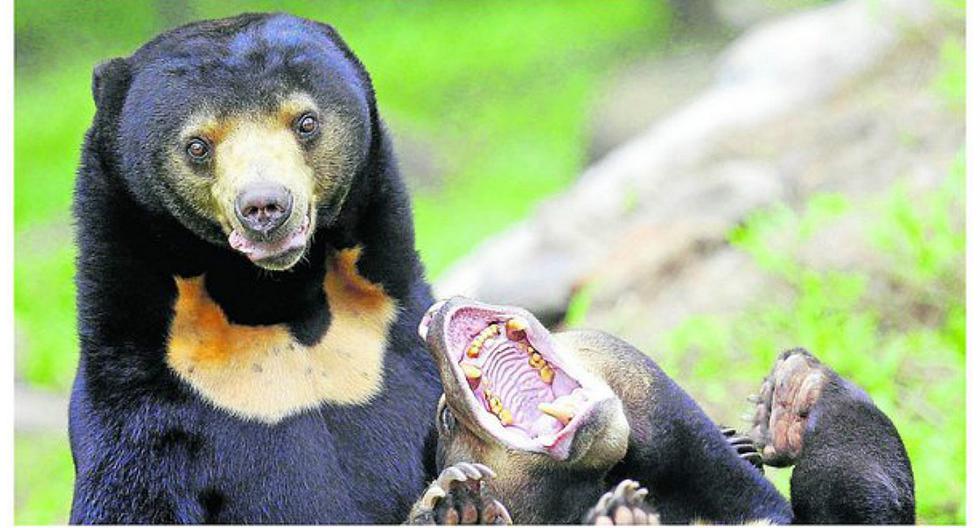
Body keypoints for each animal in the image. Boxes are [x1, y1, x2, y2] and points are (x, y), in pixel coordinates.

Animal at [69, 13, 442, 523]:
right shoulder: (140, 400)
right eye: (198, 146)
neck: (277, 300)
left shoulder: (401, 343)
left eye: (306, 122)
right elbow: (130, 499)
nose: (265, 207)